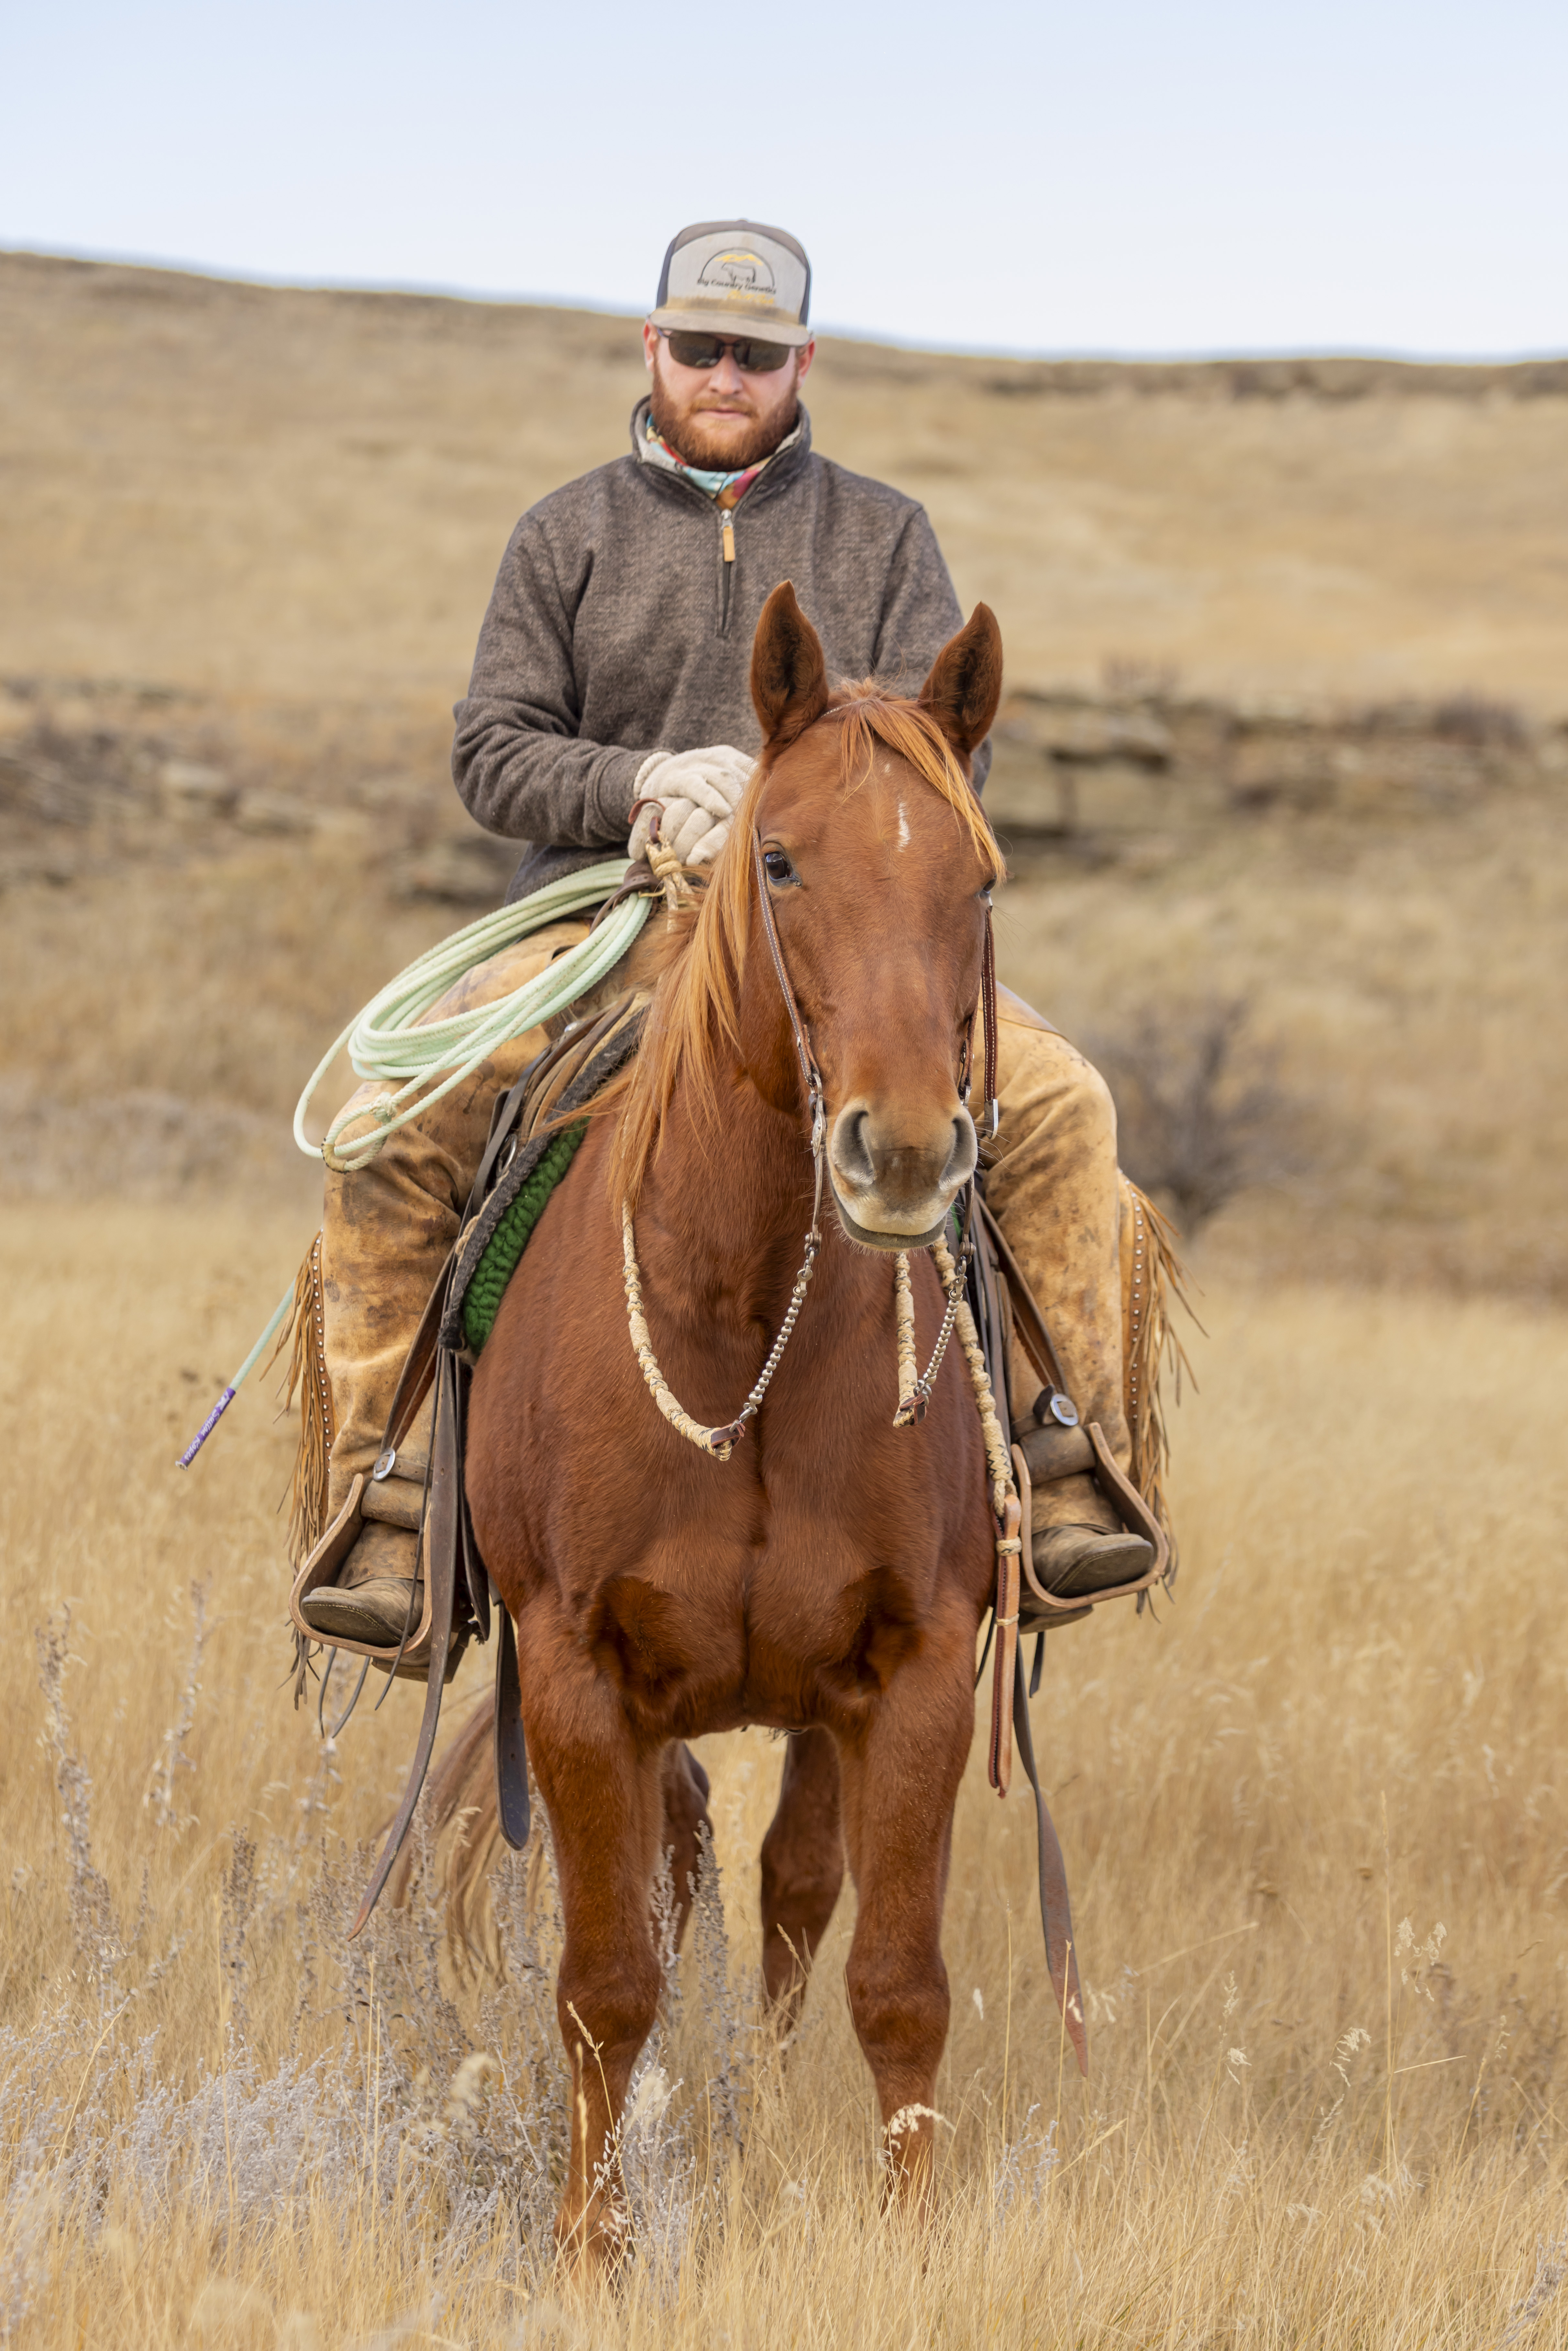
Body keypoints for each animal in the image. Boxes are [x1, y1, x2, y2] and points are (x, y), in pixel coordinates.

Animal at [461, 580, 1014, 2262]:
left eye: (979, 875)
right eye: (778, 858)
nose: (901, 1151)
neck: (738, 1322)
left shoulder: (914, 1670)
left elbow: (893, 1984)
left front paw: (907, 2249)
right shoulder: (576, 1672)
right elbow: (604, 1985)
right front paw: (590, 2250)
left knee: (784, 1893)